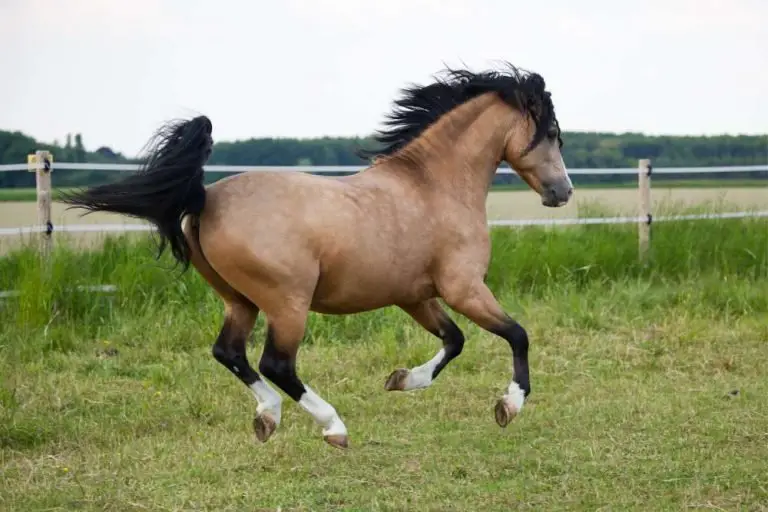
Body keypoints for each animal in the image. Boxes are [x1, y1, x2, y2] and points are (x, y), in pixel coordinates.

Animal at [60, 63, 573, 449]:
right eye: (551, 132)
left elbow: (455, 340)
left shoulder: (414, 295)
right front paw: (508, 406)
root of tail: (205, 199)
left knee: (229, 353)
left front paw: (402, 380)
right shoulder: (464, 288)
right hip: (288, 303)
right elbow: (517, 335)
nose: (562, 192)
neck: (431, 185)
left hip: (239, 301)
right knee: (276, 364)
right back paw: (333, 426)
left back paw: (268, 417)